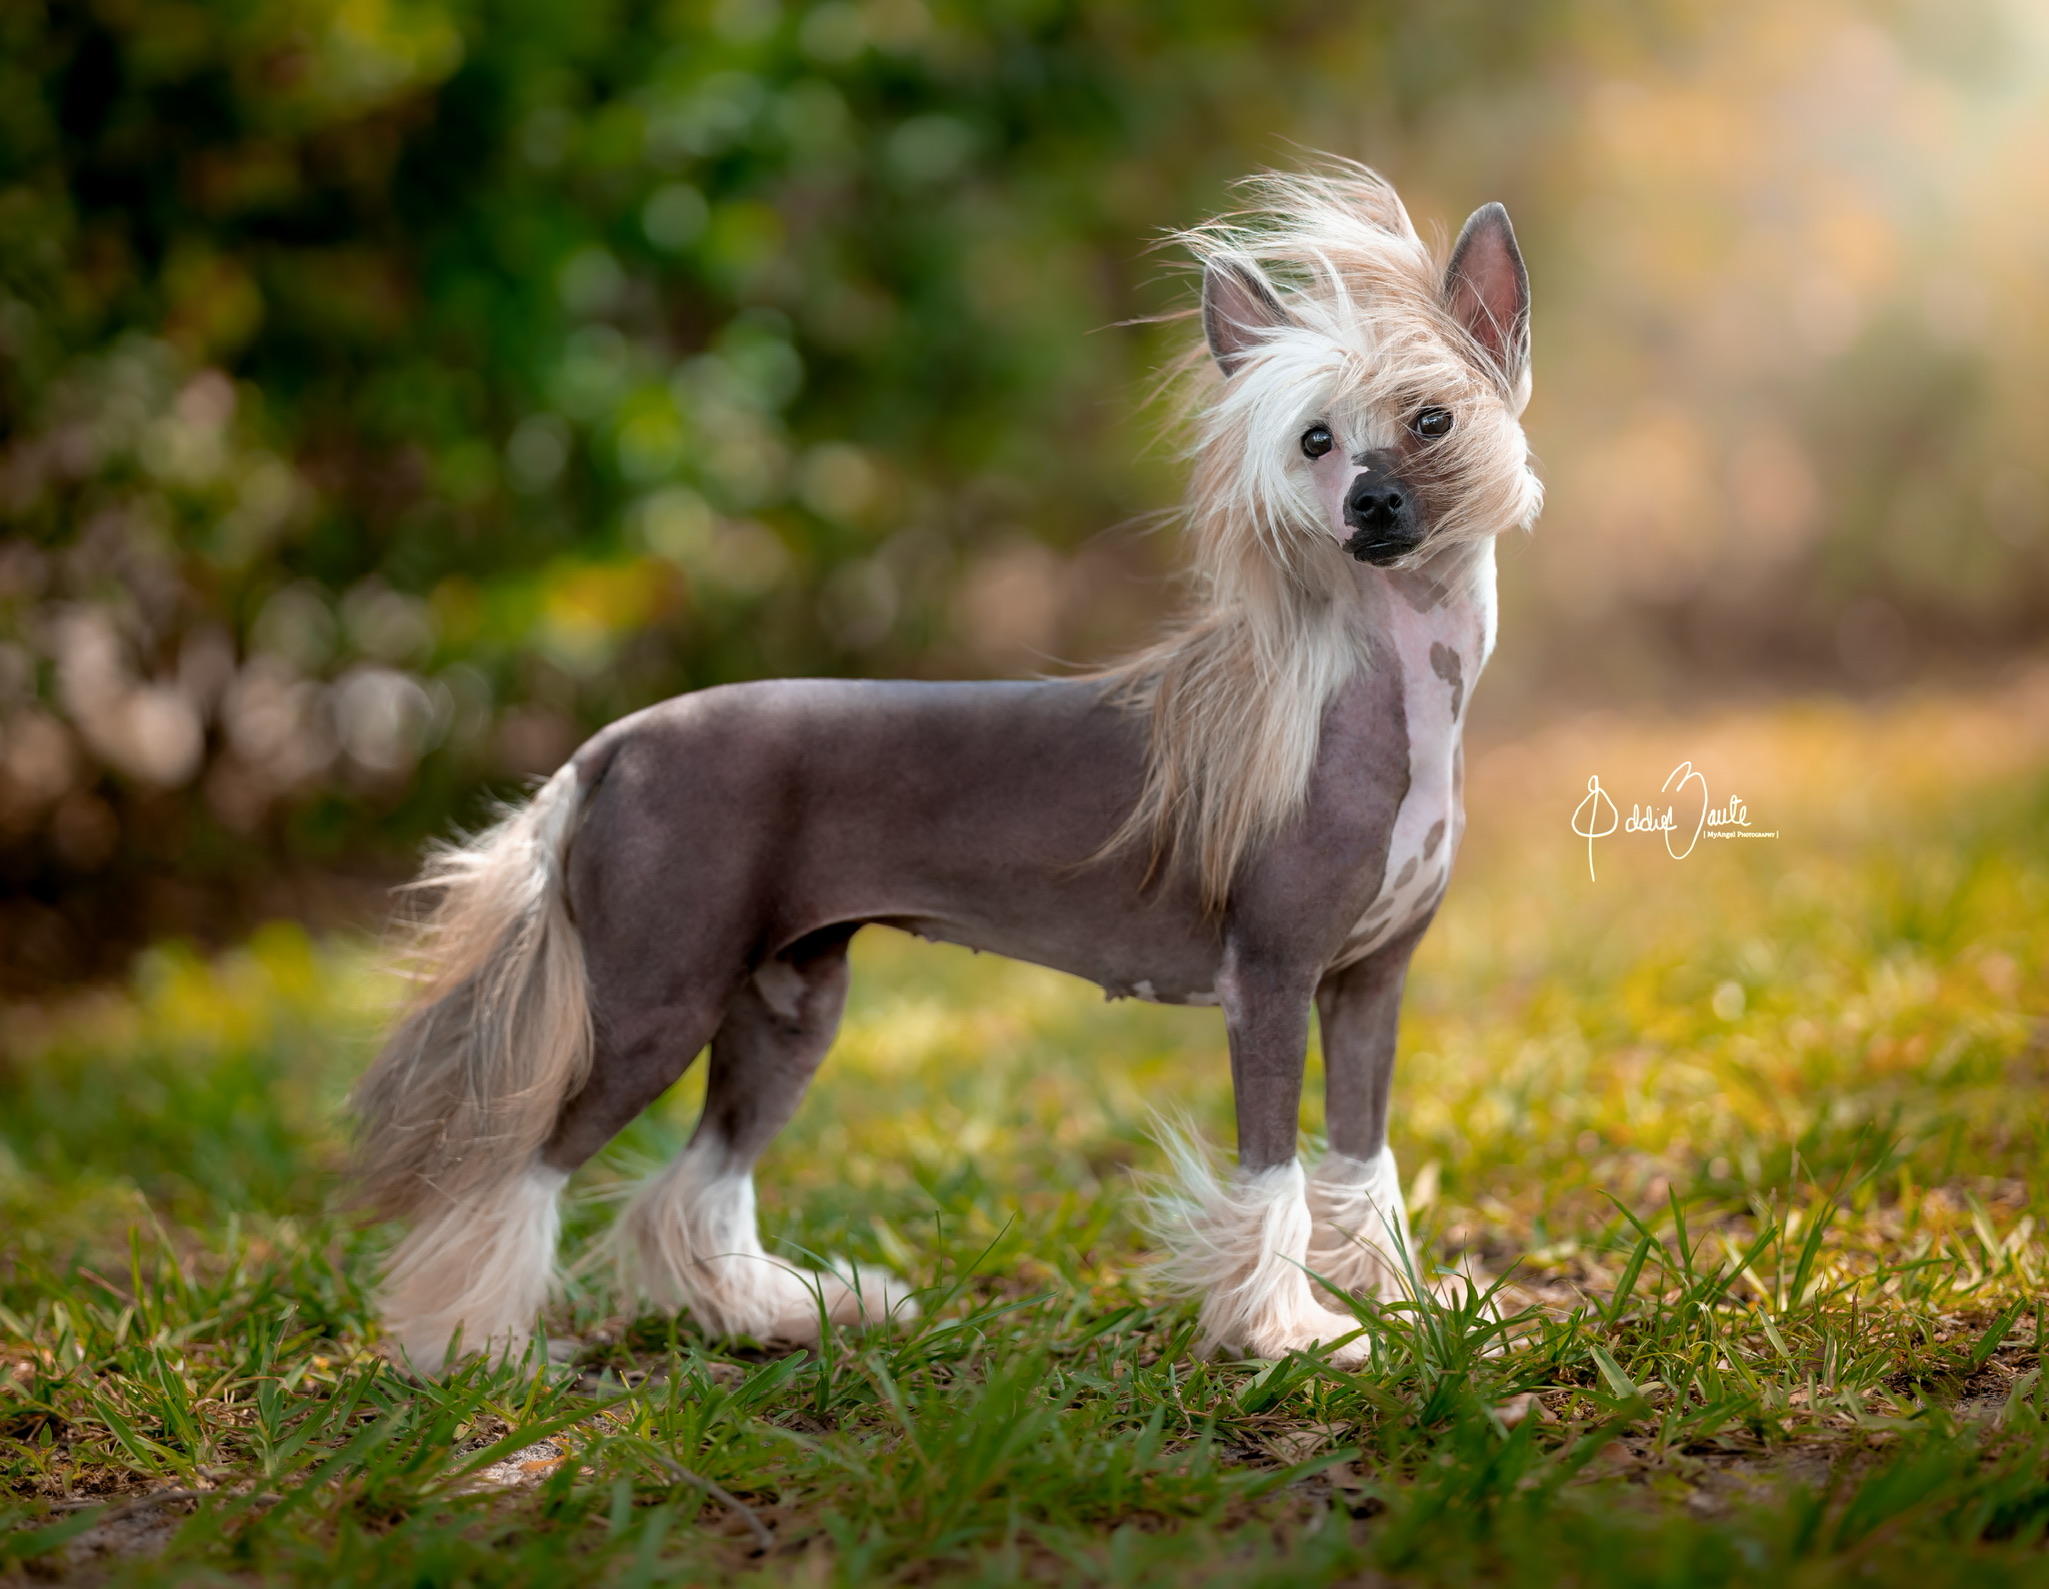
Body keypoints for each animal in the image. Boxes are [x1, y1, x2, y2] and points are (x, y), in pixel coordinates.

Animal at [352, 164, 1540, 1376]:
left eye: (1432, 419)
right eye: (1313, 441)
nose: (1370, 503)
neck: (1394, 698)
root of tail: (617, 741)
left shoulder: (1368, 984)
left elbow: (1361, 1163)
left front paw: (1400, 1306)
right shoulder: (1272, 977)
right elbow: (1275, 1173)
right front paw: (1286, 1330)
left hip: (789, 995)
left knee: (703, 1176)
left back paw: (776, 1312)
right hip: (651, 994)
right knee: (521, 1163)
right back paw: (473, 1347)